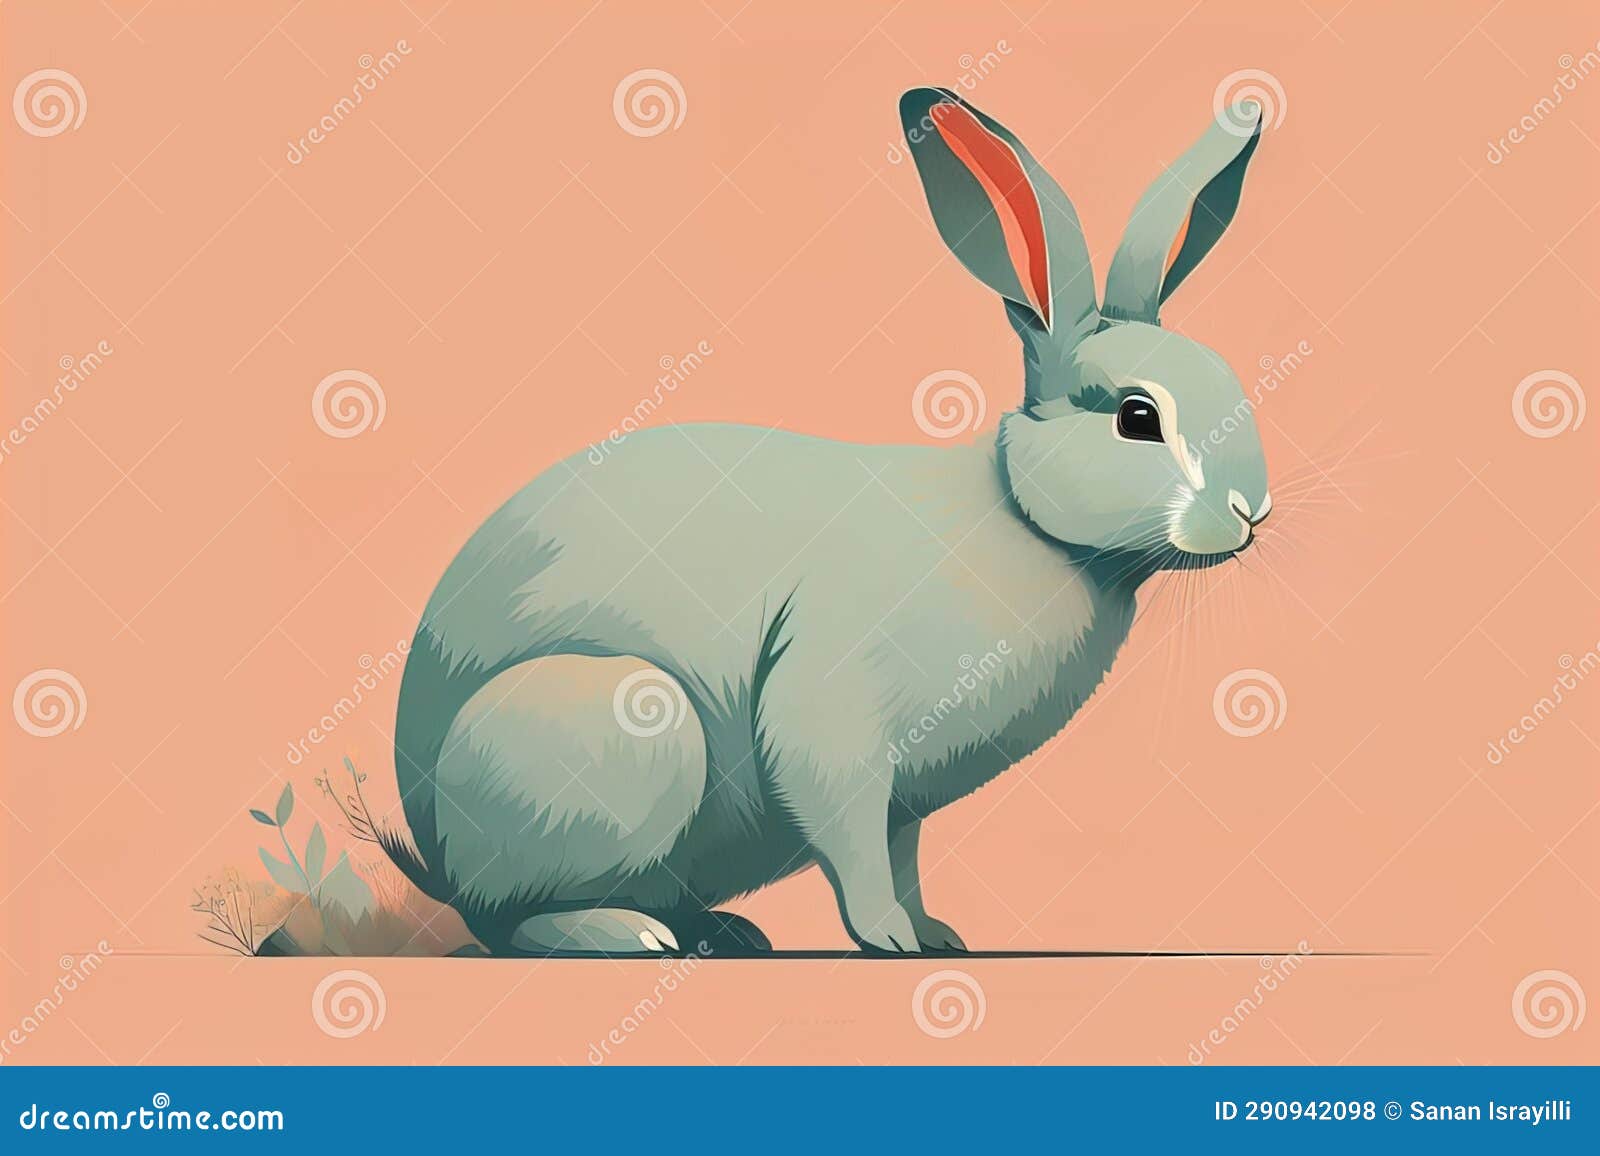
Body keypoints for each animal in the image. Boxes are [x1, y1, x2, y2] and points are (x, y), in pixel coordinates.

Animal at [385, 87, 1272, 956]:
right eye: (1136, 417)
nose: (1250, 512)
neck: (1022, 517)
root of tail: (427, 830)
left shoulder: (908, 795)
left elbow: (901, 853)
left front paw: (935, 936)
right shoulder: (835, 727)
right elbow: (851, 843)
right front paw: (890, 939)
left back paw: (724, 931)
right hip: (617, 733)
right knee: (512, 919)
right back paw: (625, 934)